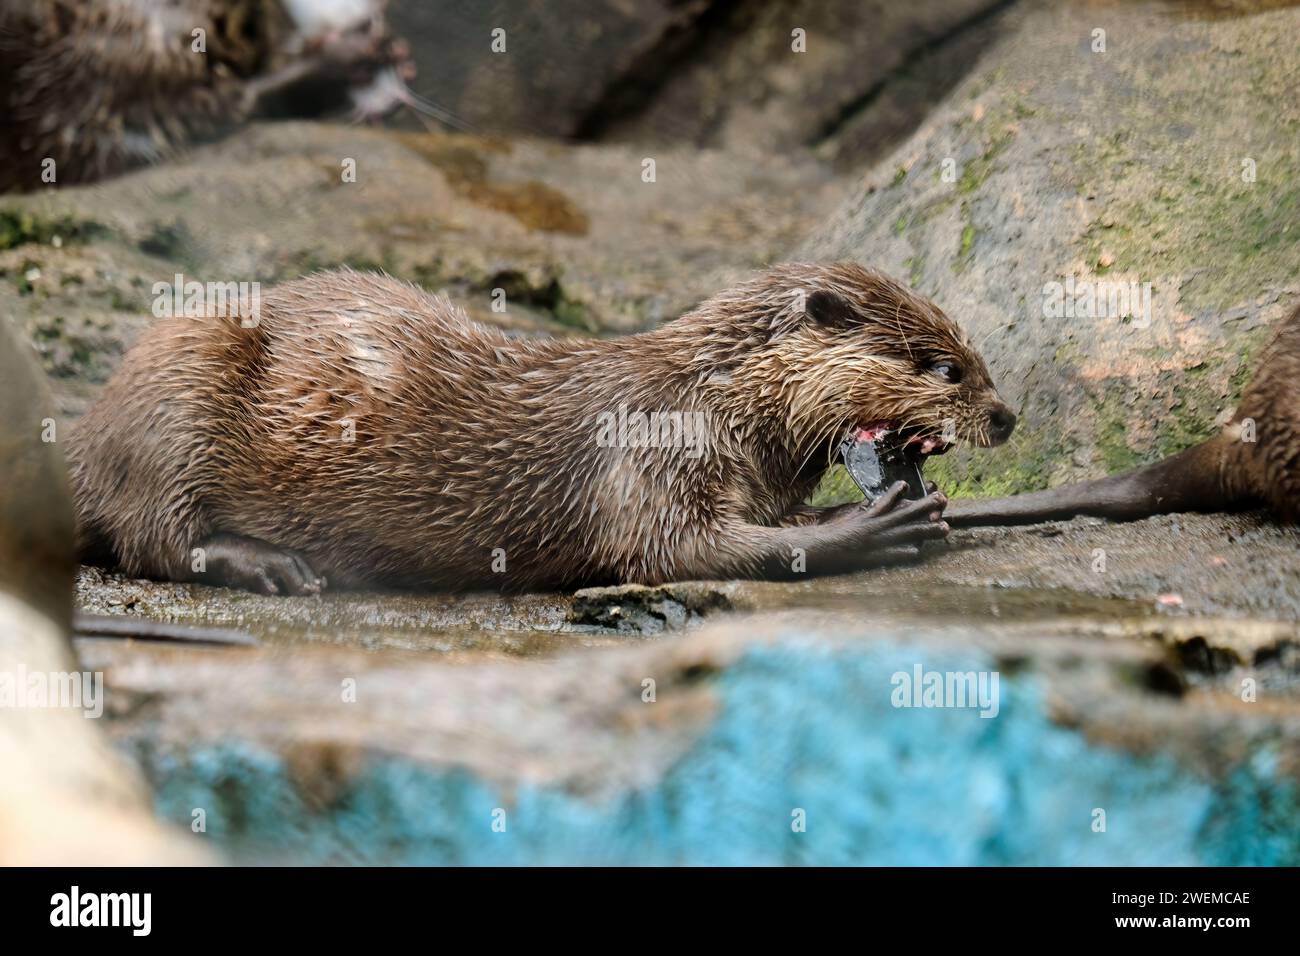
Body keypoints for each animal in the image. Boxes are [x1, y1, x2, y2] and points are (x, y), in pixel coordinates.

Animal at [68, 263, 1016, 594]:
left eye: (975, 352)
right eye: (944, 368)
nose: (1005, 415)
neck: (716, 398)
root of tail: (86, 435)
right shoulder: (652, 450)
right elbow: (674, 549)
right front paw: (874, 523)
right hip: (178, 388)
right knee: (151, 538)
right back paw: (272, 566)